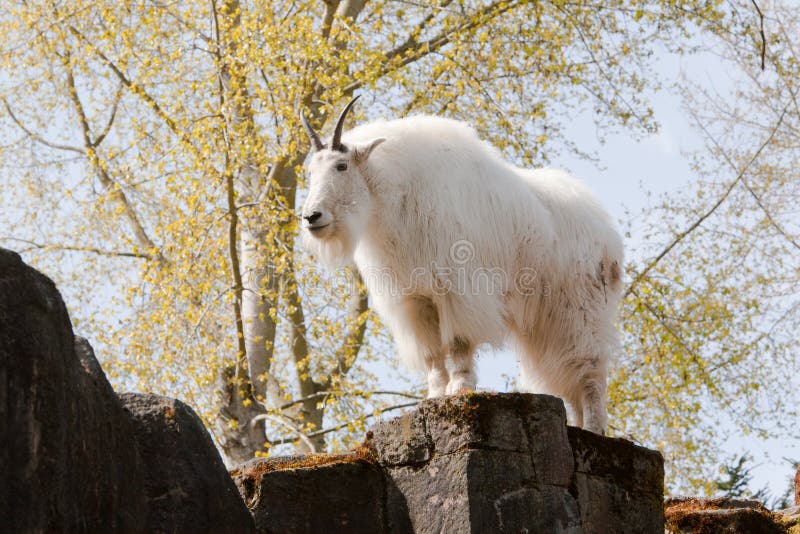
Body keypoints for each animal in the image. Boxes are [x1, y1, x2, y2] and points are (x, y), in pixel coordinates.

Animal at [300, 96, 624, 433]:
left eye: (341, 166)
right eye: (311, 171)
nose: (312, 217)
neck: (395, 197)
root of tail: (608, 234)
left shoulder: (457, 289)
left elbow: (457, 343)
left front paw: (458, 389)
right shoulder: (416, 300)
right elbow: (431, 354)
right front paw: (432, 396)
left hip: (580, 311)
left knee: (590, 369)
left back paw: (594, 428)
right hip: (547, 321)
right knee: (565, 373)